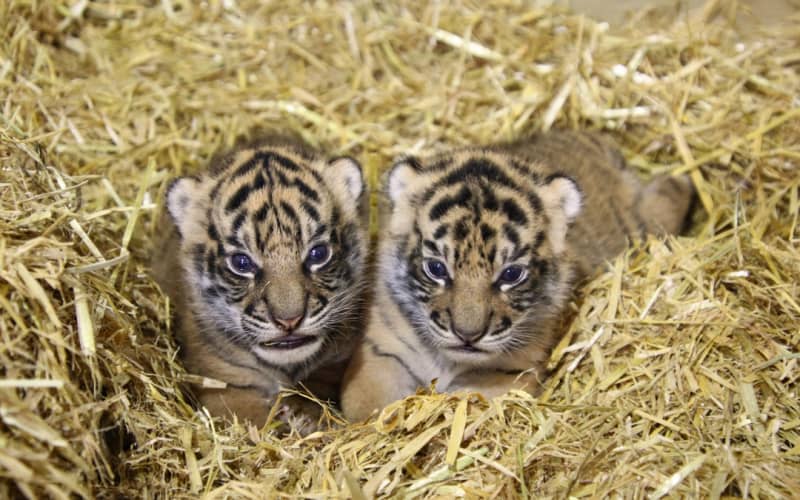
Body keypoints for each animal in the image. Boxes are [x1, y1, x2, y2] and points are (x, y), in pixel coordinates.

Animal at [152, 134, 369, 428]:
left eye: (318, 254)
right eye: (241, 263)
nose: (289, 321)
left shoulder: (340, 356)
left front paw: (303, 412)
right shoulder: (219, 382)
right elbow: (246, 416)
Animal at [341, 130, 696, 421]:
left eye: (511, 274)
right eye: (436, 268)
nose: (467, 335)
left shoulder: (513, 371)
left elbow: (467, 398)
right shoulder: (381, 353)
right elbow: (364, 405)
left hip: (639, 229)